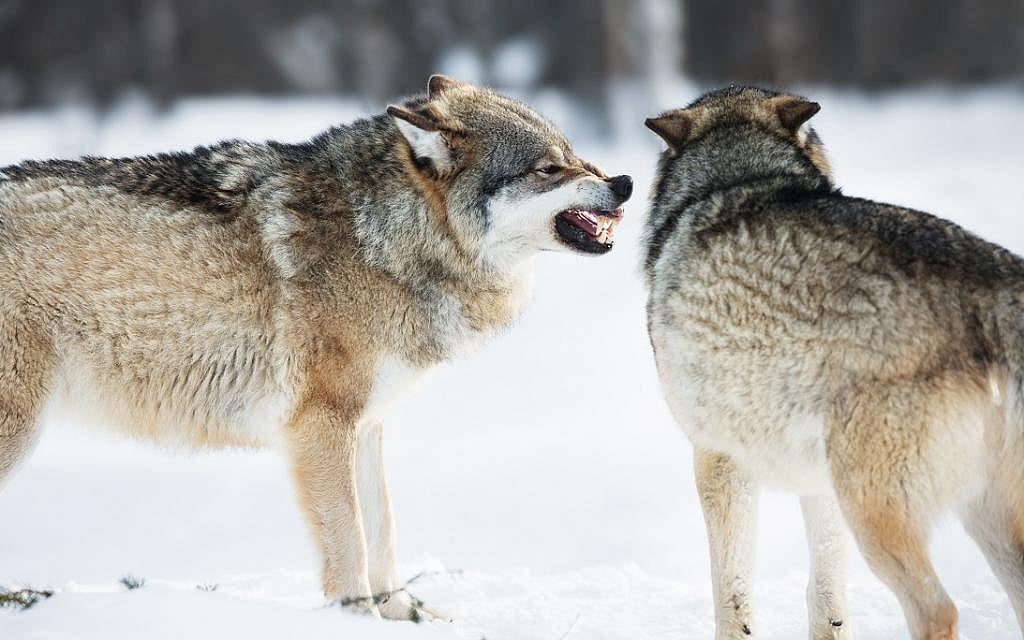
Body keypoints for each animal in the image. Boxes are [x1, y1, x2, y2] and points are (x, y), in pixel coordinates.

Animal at [0, 74, 632, 620]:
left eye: (574, 154)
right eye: (548, 167)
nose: (625, 182)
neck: (383, 240)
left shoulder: (368, 426)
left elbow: (383, 531)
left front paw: (405, 615)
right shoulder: (321, 426)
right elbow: (350, 542)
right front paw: (359, 619)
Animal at [643, 85, 1023, 639]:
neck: (737, 177)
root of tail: (993, 287)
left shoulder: (716, 458)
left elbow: (732, 596)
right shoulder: (817, 483)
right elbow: (826, 598)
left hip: (877, 511)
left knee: (938, 610)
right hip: (974, 513)